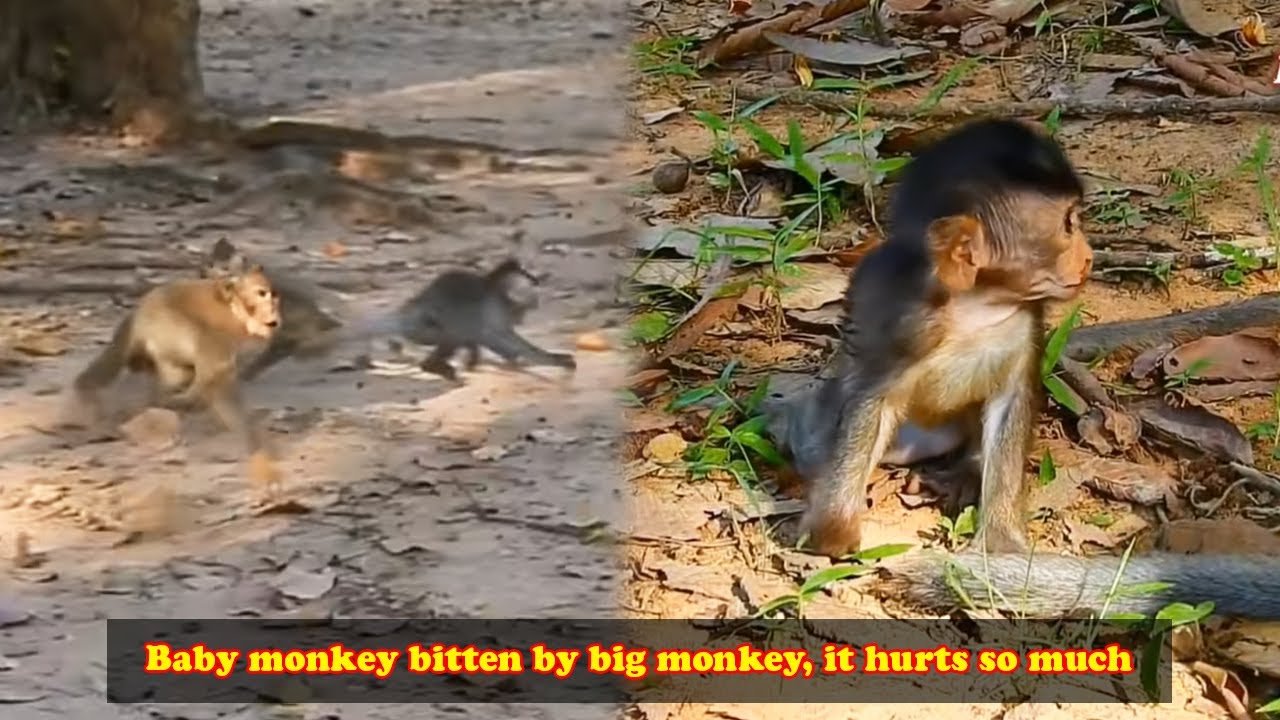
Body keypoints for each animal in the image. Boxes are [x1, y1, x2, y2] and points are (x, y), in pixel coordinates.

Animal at [67, 267, 285, 491]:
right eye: (261, 293)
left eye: (273, 295)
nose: (273, 313)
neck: (234, 312)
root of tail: (137, 313)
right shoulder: (216, 341)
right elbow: (218, 383)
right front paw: (259, 452)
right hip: (169, 330)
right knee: (180, 377)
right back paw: (167, 402)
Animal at [766, 117, 1095, 560]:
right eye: (1068, 225)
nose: (1088, 256)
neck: (977, 302)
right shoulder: (903, 323)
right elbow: (869, 400)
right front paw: (832, 532)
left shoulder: (1027, 321)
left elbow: (1011, 404)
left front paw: (1001, 540)